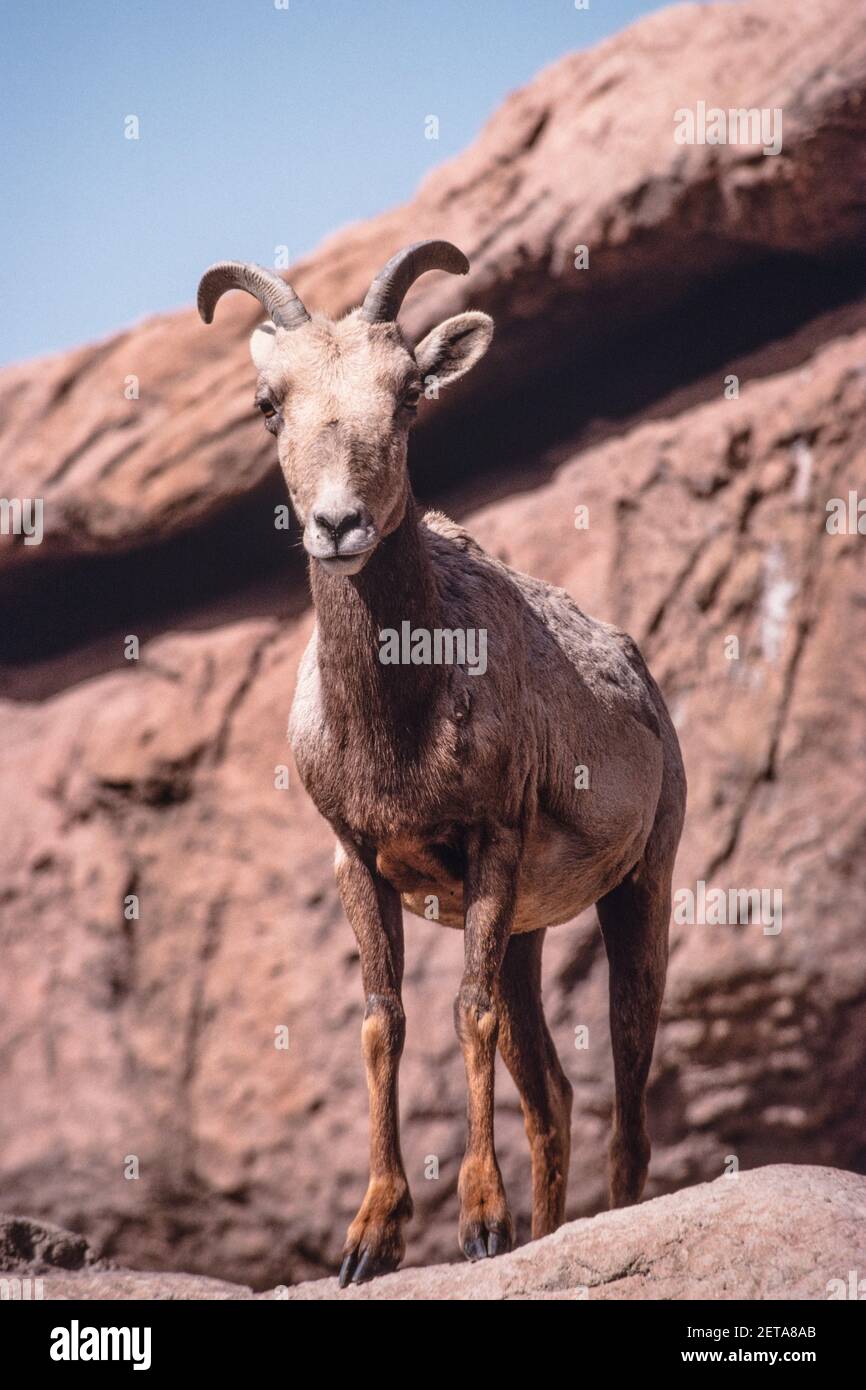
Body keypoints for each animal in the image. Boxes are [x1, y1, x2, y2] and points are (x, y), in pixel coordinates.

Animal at [197, 240, 687, 1286]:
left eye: (410, 393)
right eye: (270, 404)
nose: (339, 524)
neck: (399, 726)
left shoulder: (490, 844)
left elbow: (466, 1014)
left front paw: (479, 1227)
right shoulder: (359, 860)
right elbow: (385, 1021)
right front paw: (370, 1240)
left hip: (643, 890)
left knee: (627, 1096)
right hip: (531, 937)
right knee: (554, 1098)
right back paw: (545, 1235)